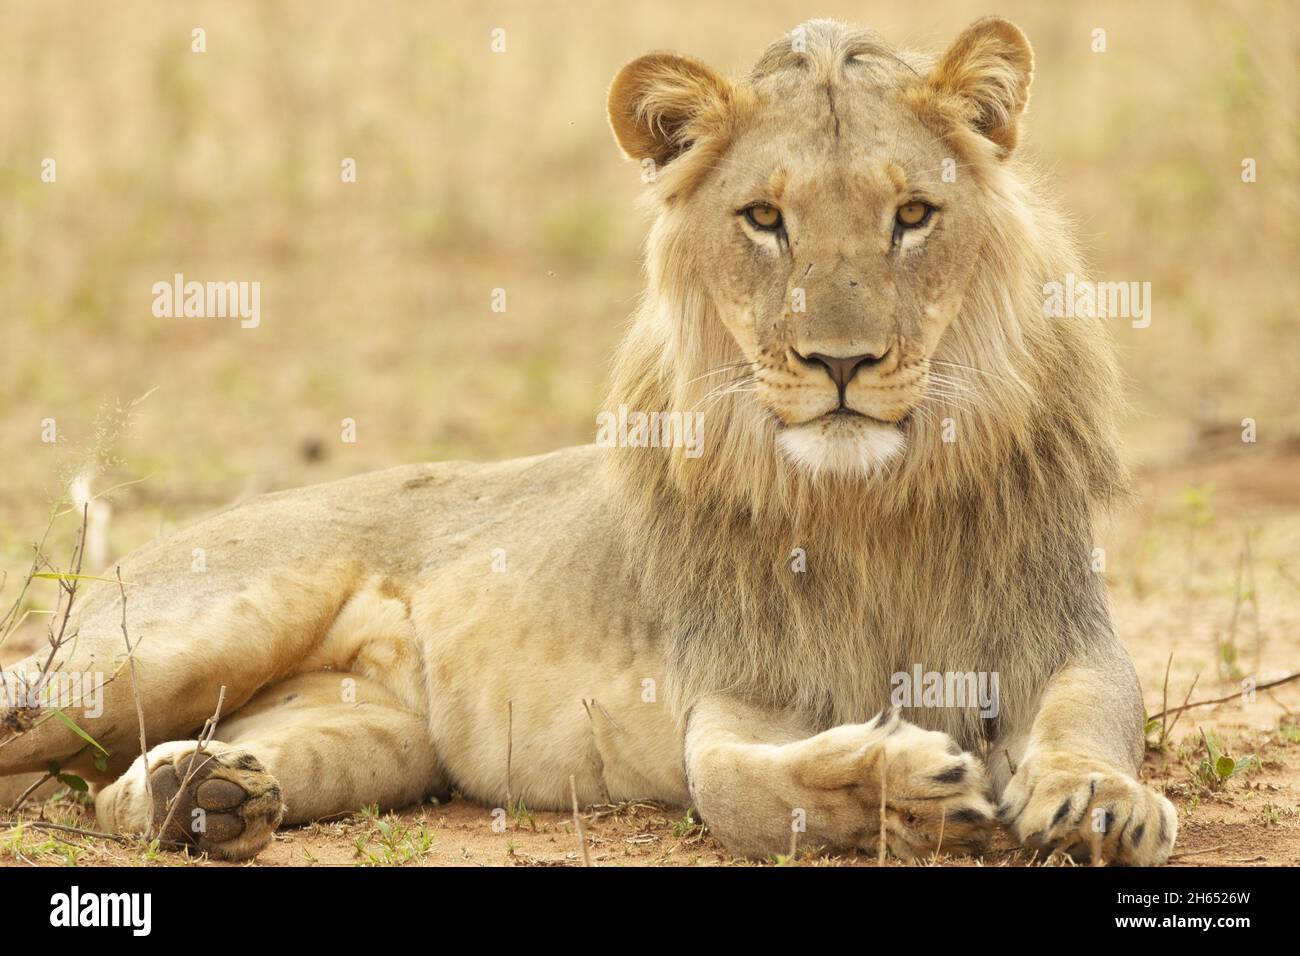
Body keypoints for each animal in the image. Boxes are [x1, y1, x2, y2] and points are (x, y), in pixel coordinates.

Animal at [0, 17, 1176, 865]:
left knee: (123, 784)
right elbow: (739, 786)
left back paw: (200, 794)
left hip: (369, 733)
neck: (867, 506)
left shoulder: (1057, 622)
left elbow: (1097, 713)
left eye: (914, 215)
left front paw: (1099, 799)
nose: (839, 362)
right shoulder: (737, 687)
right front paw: (909, 792)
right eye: (764, 219)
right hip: (172, 642)